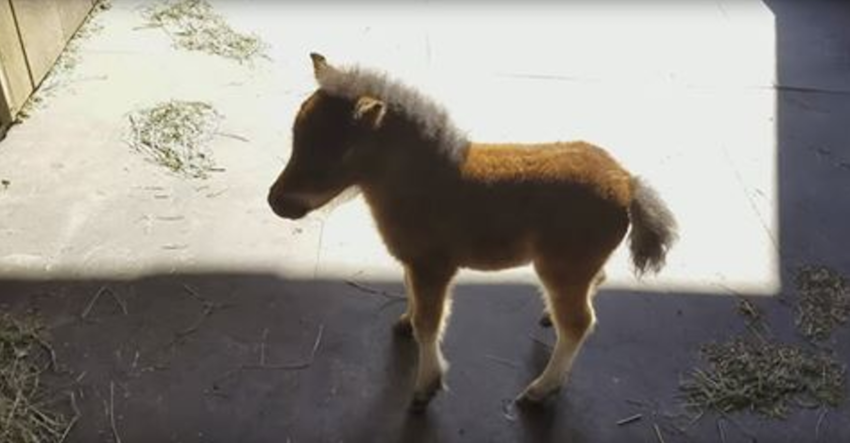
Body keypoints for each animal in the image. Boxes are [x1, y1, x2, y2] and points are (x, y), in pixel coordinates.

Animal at [268, 53, 677, 411]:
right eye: (297, 136)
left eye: (336, 151)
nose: (276, 202)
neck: (423, 180)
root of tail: (626, 182)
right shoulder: (415, 263)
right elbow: (412, 300)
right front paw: (404, 324)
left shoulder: (433, 267)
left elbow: (430, 322)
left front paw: (425, 389)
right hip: (579, 266)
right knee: (594, 287)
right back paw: (549, 319)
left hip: (563, 268)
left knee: (579, 323)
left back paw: (539, 392)